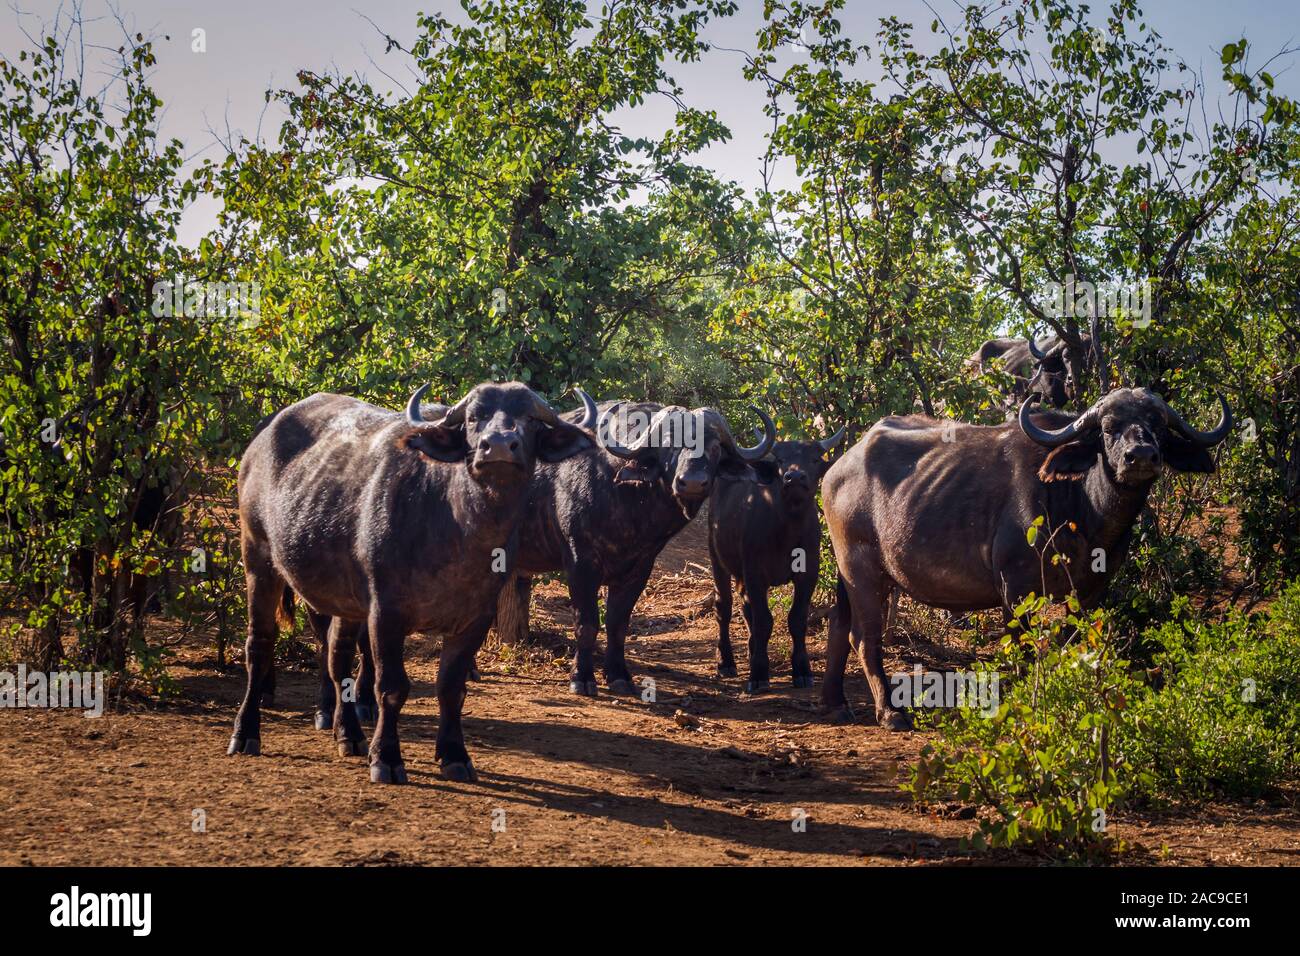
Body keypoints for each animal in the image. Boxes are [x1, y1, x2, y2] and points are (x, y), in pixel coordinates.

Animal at [229, 381, 594, 783]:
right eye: (473, 418)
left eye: (529, 418)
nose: (498, 445)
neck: (459, 526)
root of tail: (257, 445)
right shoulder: (386, 613)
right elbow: (391, 686)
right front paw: (386, 758)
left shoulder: (476, 619)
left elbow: (451, 688)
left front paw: (454, 755)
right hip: (258, 560)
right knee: (260, 645)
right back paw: (246, 733)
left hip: (345, 601)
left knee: (337, 658)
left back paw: (348, 734)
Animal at [707, 427, 845, 691]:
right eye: (780, 460)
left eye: (814, 459)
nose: (795, 477)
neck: (786, 529)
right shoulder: (754, 572)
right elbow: (764, 620)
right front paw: (759, 673)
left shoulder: (808, 574)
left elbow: (797, 619)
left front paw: (802, 670)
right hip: (716, 557)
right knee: (724, 607)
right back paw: (725, 662)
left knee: (745, 605)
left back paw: (751, 649)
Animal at [820, 387, 1231, 729]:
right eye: (1109, 428)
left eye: (1157, 426)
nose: (1141, 457)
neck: (1082, 508)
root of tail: (838, 468)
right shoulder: (1015, 590)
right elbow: (1020, 650)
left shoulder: (1091, 592)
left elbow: (1069, 645)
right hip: (862, 571)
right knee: (865, 637)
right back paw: (890, 713)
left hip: (850, 574)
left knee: (839, 625)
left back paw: (835, 703)